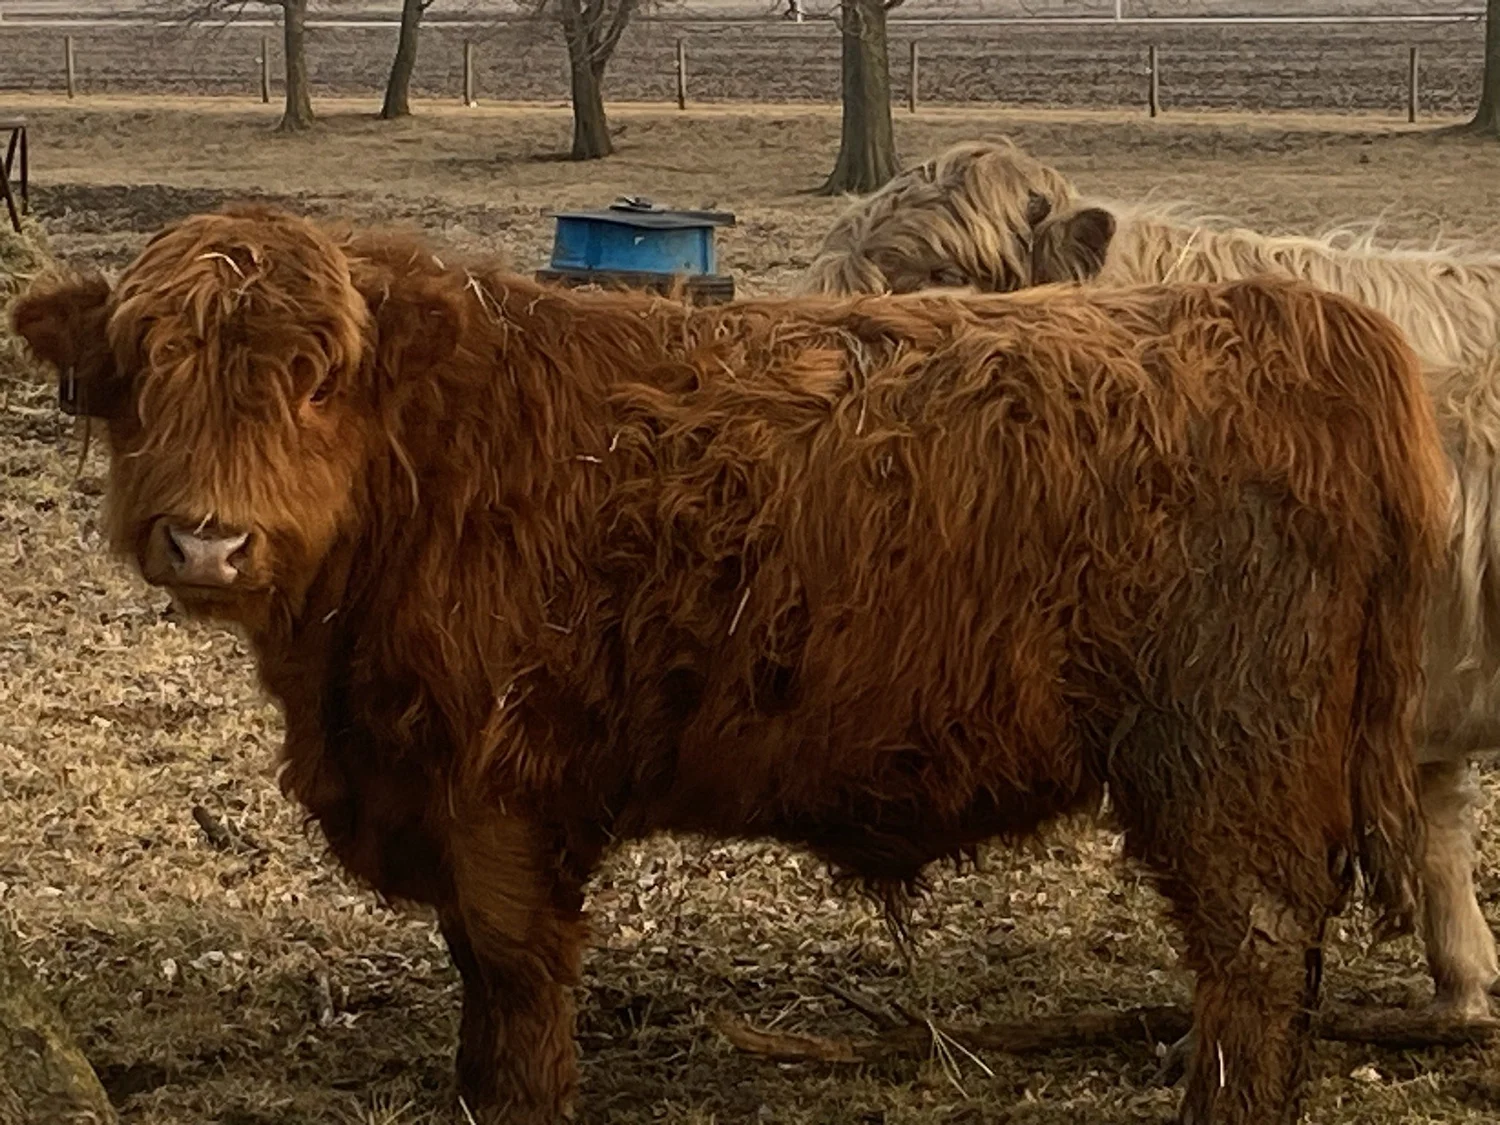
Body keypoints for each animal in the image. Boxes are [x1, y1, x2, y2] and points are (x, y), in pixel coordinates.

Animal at [13, 205, 1450, 1125]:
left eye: (314, 380)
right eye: (140, 375)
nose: (206, 537)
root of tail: (1298, 319)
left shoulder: (501, 786)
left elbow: (517, 967)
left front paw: (518, 1096)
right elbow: (476, 970)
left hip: (1224, 749)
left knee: (1254, 942)